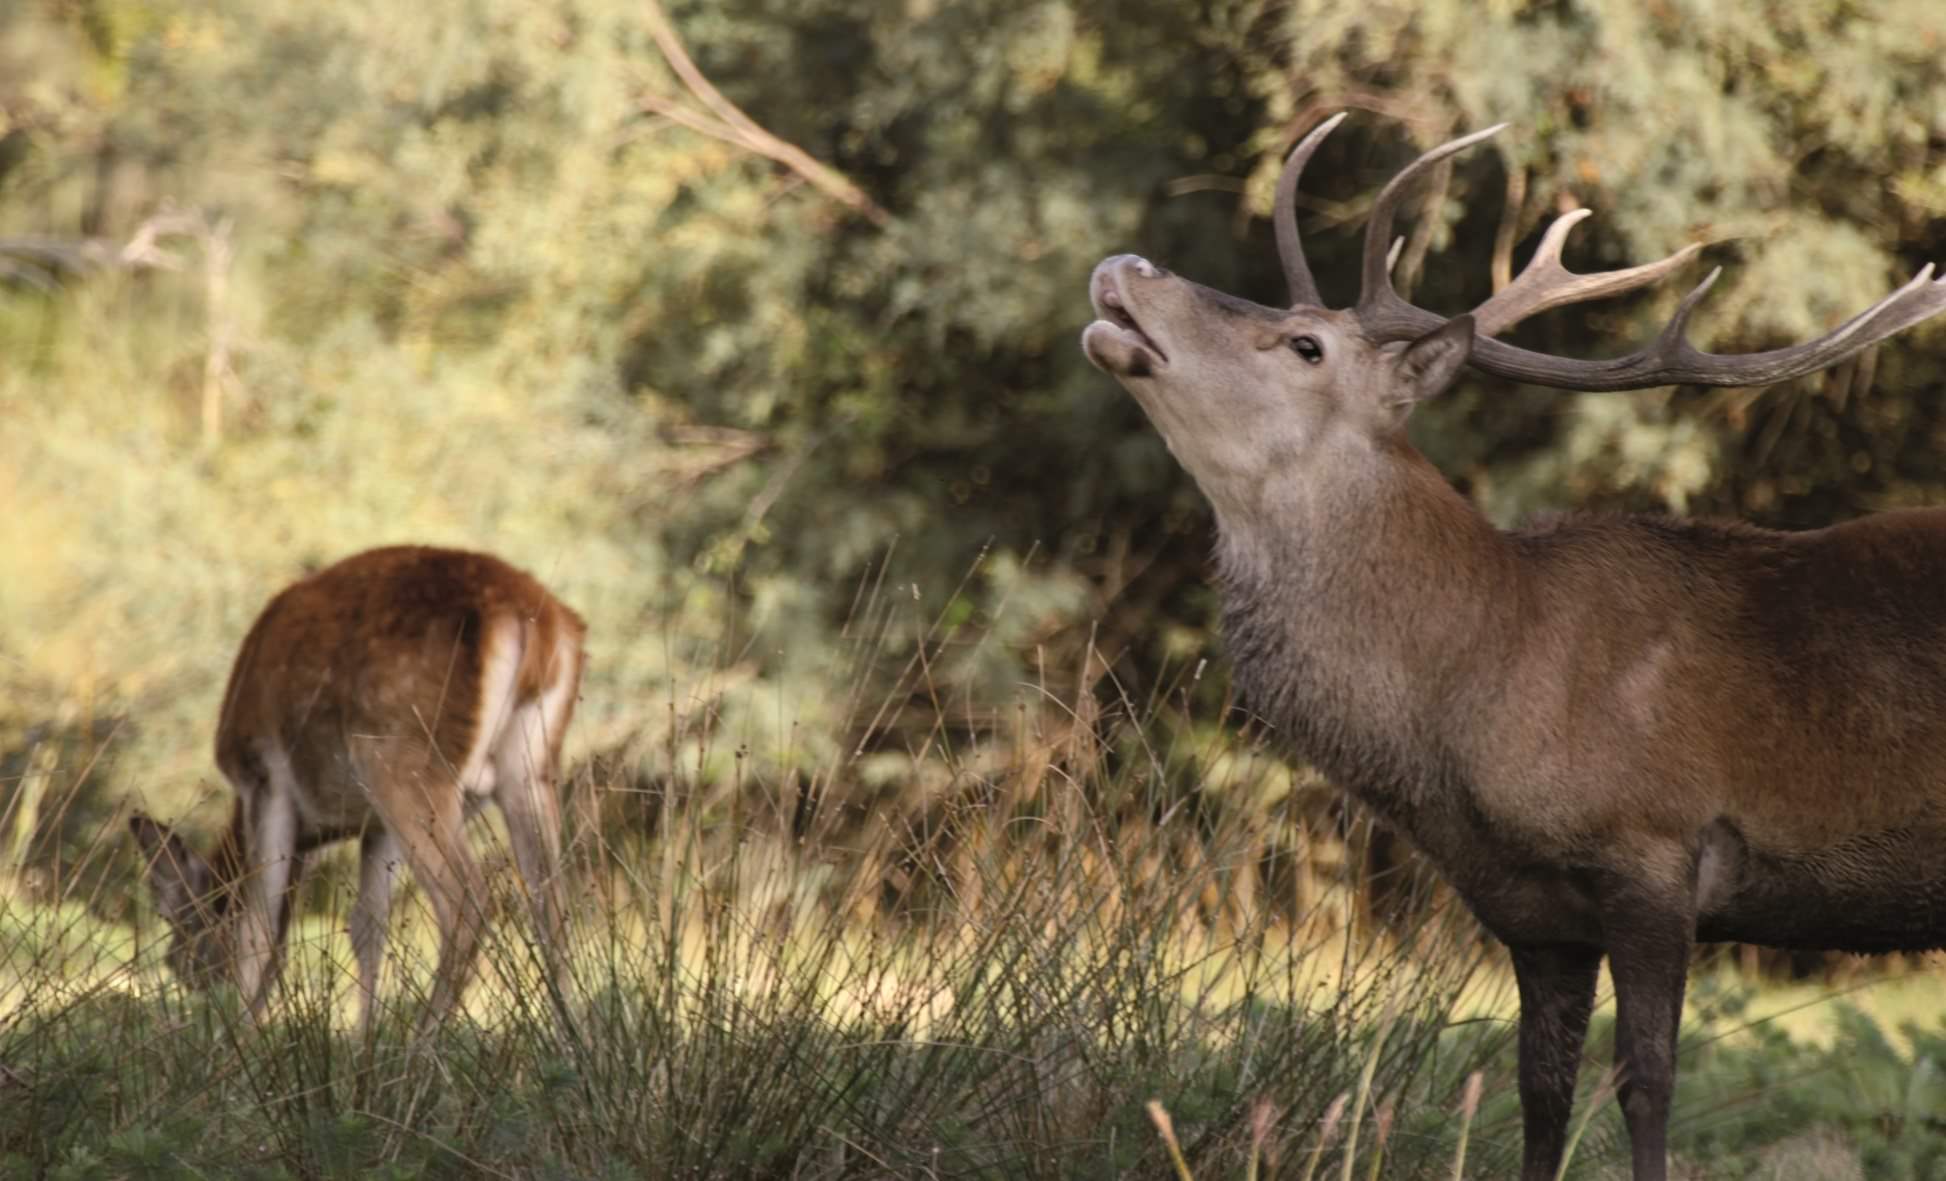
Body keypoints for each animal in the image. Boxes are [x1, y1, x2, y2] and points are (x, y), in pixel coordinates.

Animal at [129, 545, 585, 1034]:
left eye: (175, 914)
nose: (176, 964)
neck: (318, 835)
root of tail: (527, 618)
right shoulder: (374, 827)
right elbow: (368, 927)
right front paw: (363, 1041)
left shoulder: (264, 779)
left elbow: (261, 926)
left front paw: (239, 1039)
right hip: (532, 768)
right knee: (553, 909)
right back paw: (573, 1040)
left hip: (404, 761)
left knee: (466, 903)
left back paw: (419, 1043)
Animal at [1082, 113, 1946, 1181]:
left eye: (1304, 344)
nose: (1127, 265)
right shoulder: (1530, 911)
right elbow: (1537, 1090)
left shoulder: (1654, 843)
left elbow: (1645, 1084)